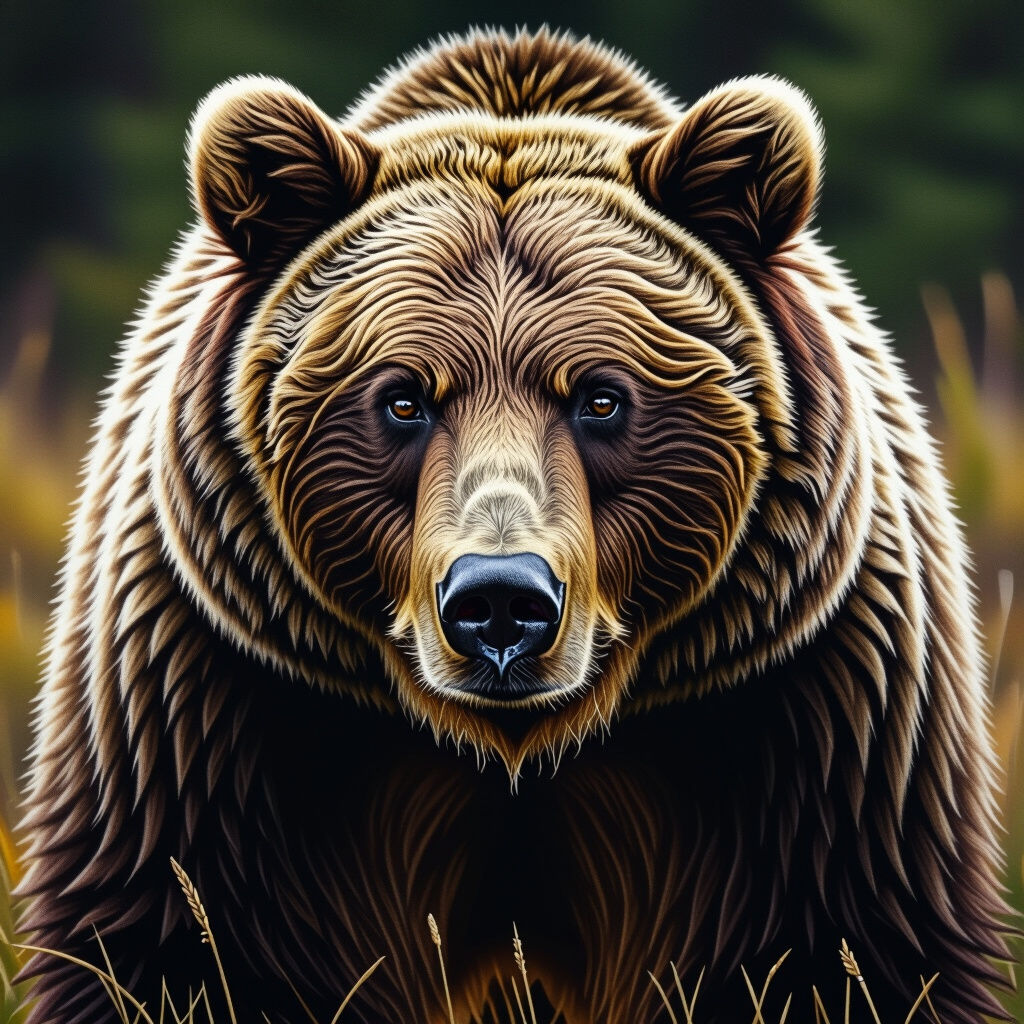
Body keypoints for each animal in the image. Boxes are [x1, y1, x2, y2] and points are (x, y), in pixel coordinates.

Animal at [17, 26, 1012, 1024]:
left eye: (602, 396)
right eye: (404, 398)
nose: (501, 602)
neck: (515, 749)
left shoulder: (810, 729)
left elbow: (832, 954)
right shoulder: (218, 717)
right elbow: (192, 947)